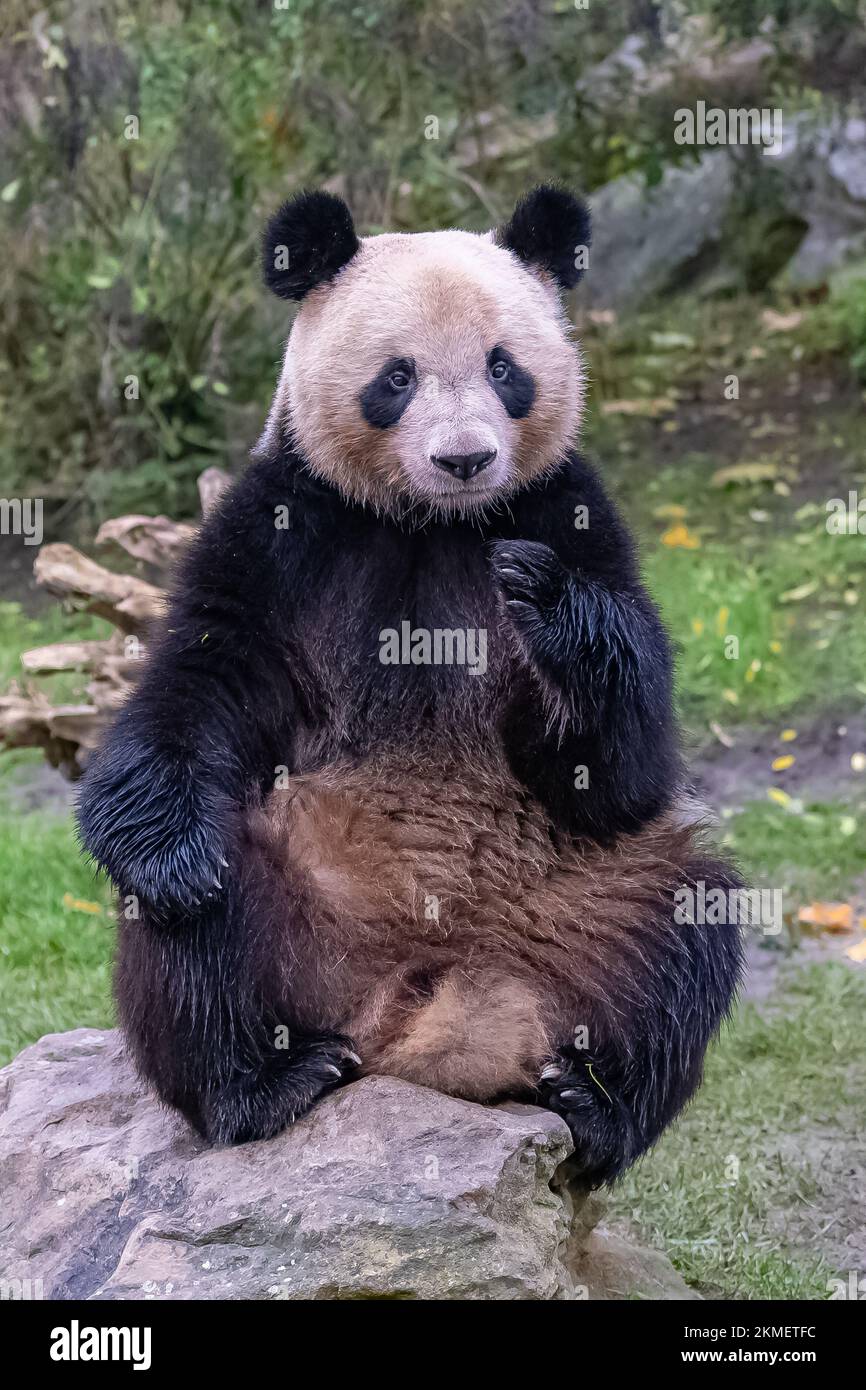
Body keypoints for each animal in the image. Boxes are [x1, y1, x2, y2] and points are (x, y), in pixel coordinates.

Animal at [77, 185, 743, 1187]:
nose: (465, 459)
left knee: (688, 922)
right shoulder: (281, 529)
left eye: (504, 367)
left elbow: (625, 773)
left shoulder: (572, 513)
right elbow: (197, 681)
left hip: (583, 907)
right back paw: (267, 1082)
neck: (432, 522)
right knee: (198, 938)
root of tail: (427, 1008)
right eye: (396, 377)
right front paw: (171, 856)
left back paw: (594, 1106)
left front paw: (547, 602)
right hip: (305, 920)